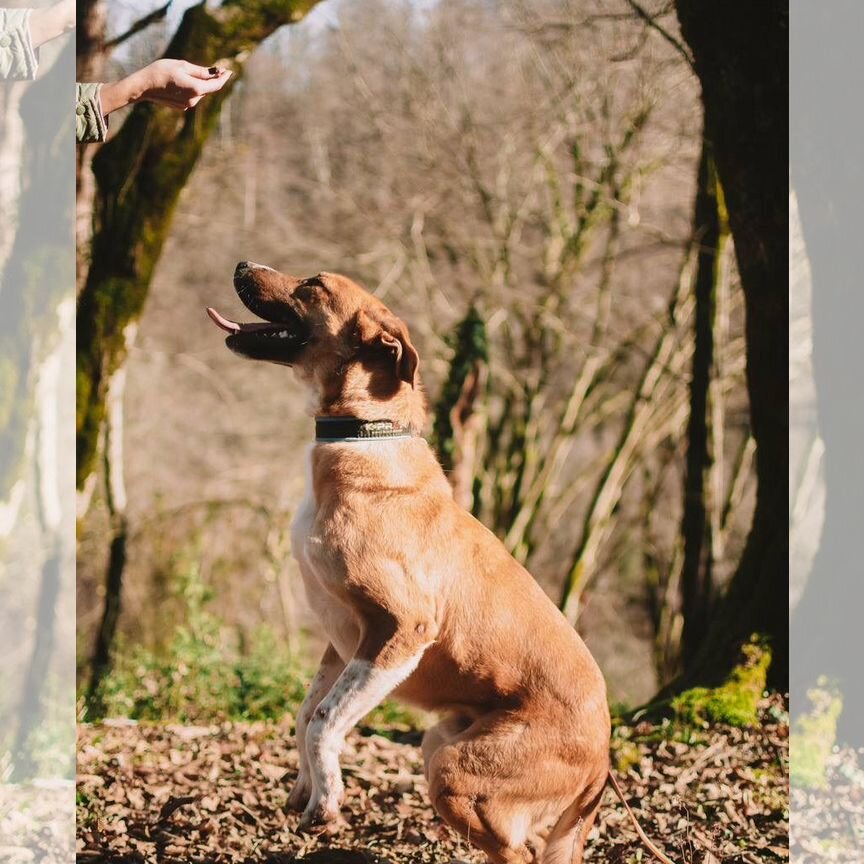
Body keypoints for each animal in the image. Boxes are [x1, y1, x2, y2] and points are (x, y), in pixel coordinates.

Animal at [211, 264, 676, 864]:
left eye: (313, 283)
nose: (242, 265)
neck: (367, 435)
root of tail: (604, 753)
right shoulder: (342, 638)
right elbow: (305, 714)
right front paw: (305, 790)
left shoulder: (400, 628)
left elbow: (324, 722)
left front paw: (328, 802)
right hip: (441, 744)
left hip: (454, 772)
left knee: (518, 852)